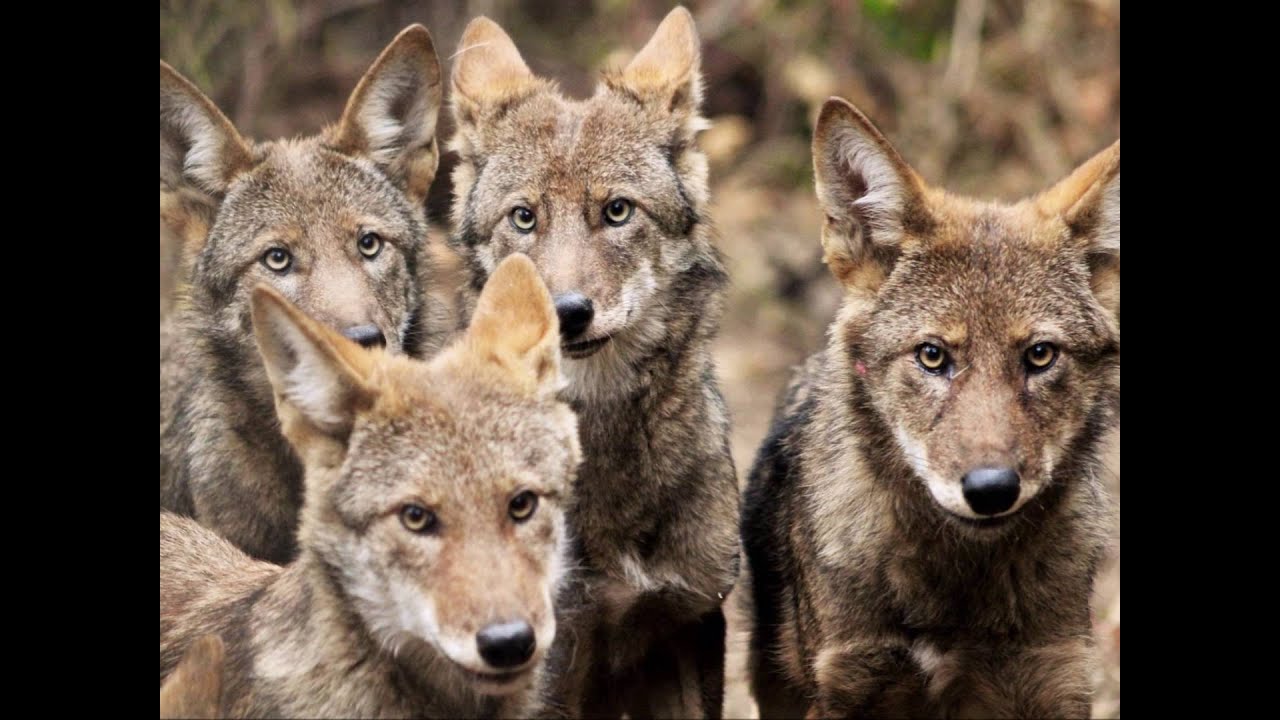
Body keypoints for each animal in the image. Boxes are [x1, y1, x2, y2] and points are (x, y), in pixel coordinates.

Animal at [740, 97, 1119, 718]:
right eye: (933, 355)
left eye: (1040, 355)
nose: (991, 490)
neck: (956, 585)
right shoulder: (848, 686)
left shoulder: (1054, 682)